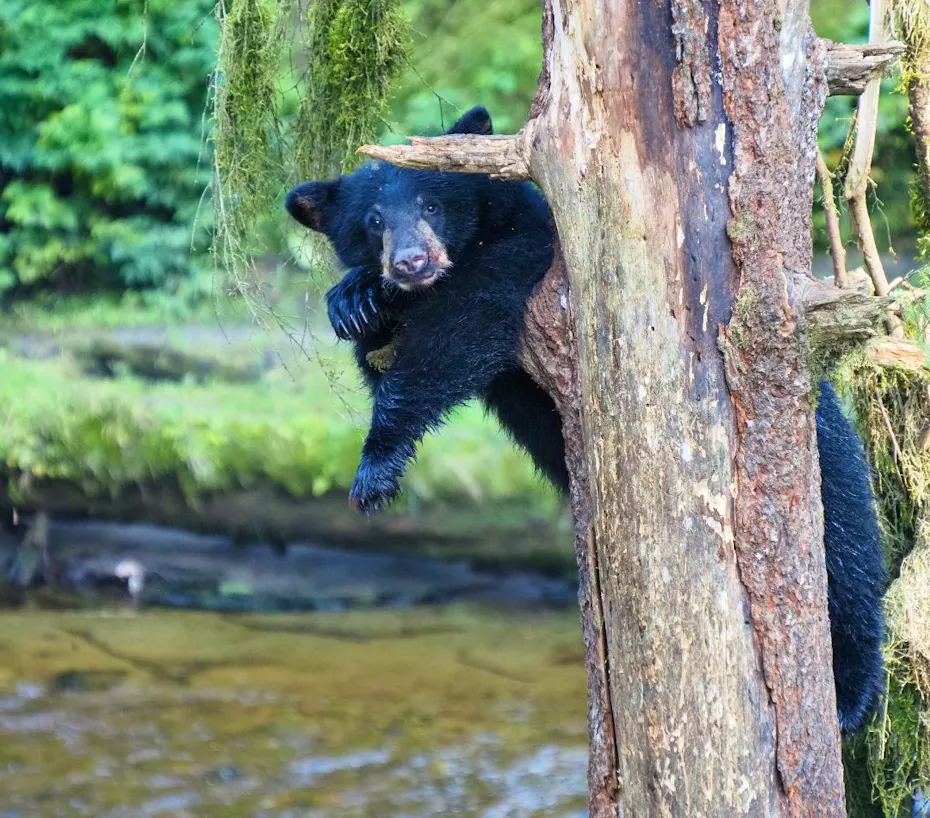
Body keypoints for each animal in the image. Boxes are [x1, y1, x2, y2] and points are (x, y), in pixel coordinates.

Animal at [285, 106, 885, 733]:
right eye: (372, 222)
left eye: (432, 204)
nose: (411, 262)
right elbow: (380, 350)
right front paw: (354, 300)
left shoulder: (528, 247)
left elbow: (462, 324)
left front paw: (376, 464)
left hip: (826, 471)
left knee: (848, 562)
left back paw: (851, 694)